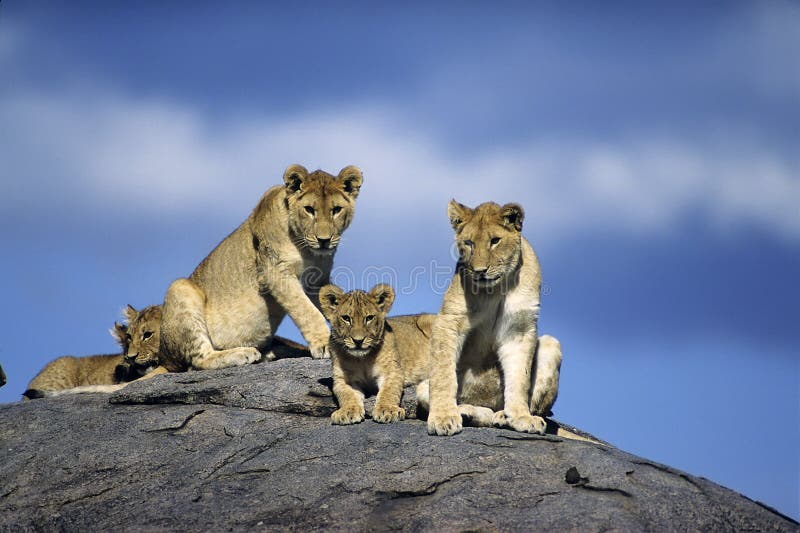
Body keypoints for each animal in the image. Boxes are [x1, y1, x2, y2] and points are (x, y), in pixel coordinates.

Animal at [159, 165, 362, 372]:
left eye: (336, 210)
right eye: (309, 210)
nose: (324, 240)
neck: (309, 251)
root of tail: (166, 362)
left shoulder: (318, 279)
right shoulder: (275, 270)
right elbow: (306, 310)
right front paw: (323, 344)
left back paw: (269, 353)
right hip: (180, 288)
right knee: (198, 360)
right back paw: (243, 353)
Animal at [426, 200, 562, 436]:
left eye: (495, 241)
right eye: (469, 243)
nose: (480, 271)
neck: (496, 288)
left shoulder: (519, 329)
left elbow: (519, 378)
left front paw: (520, 417)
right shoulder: (450, 320)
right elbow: (443, 375)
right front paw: (443, 417)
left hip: (550, 343)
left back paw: (502, 416)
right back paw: (466, 412)